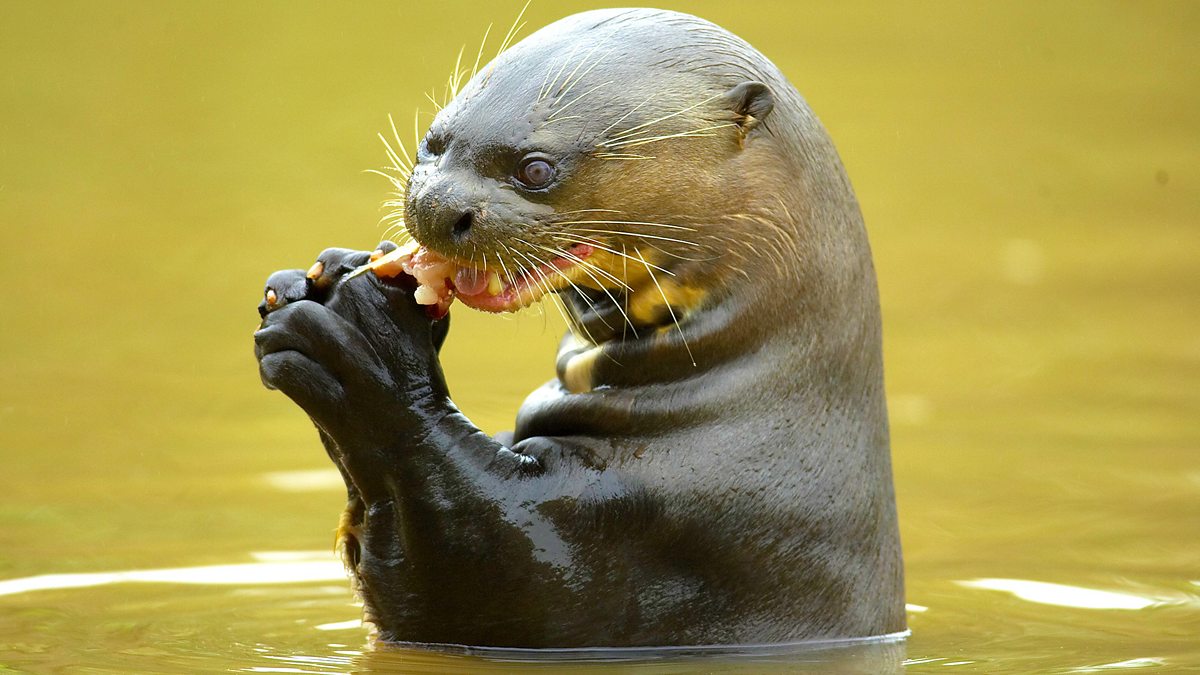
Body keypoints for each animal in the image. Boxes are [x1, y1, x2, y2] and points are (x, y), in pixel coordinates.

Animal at [254, 8, 905, 650]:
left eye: (536, 169)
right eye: (431, 145)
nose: (436, 208)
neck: (746, 406)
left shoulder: (670, 524)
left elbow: (470, 575)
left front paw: (363, 340)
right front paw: (322, 274)